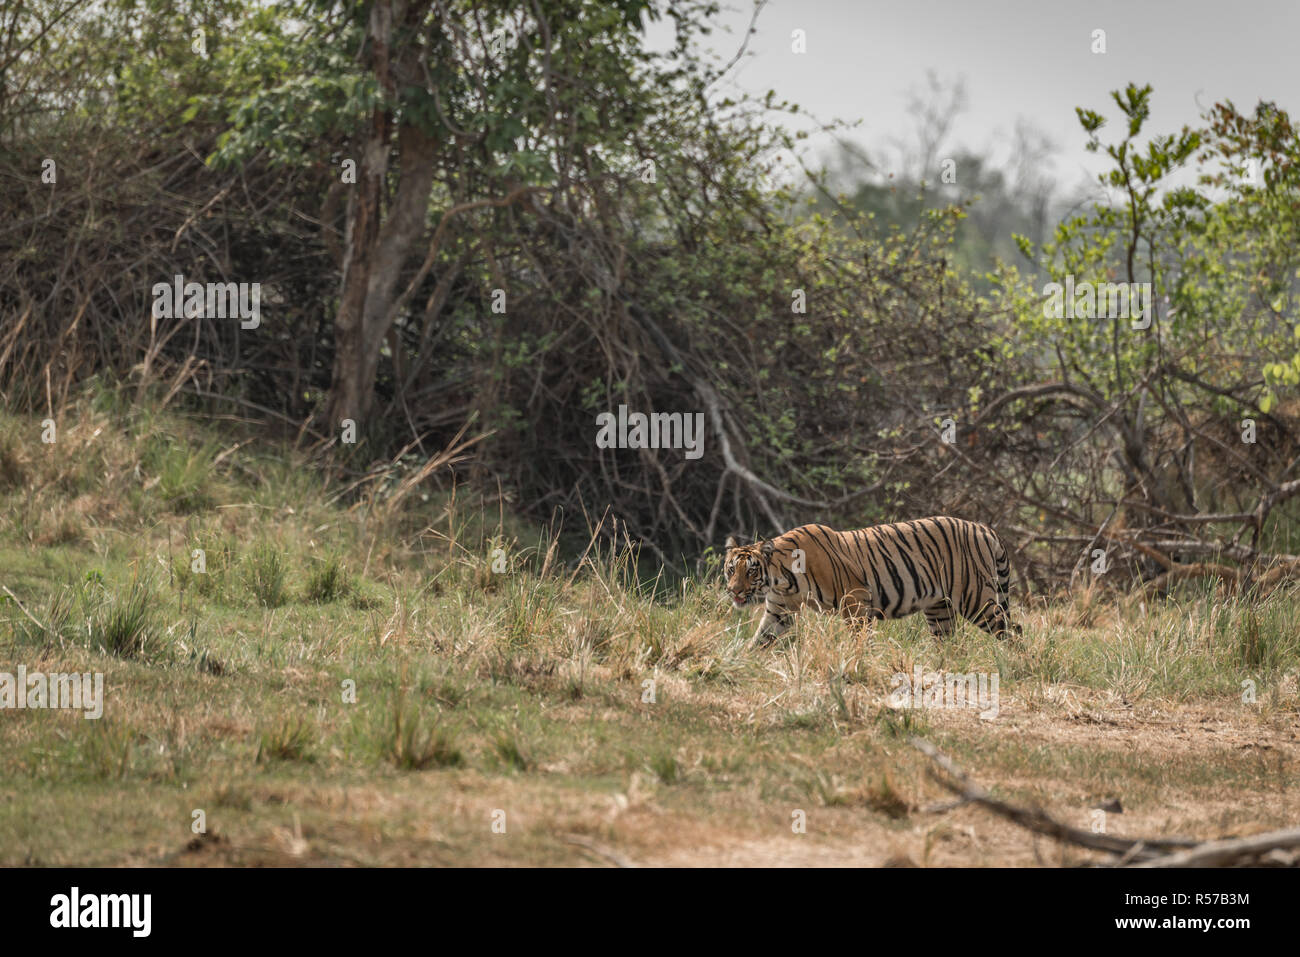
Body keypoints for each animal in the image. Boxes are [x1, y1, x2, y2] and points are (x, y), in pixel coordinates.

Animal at [723, 517, 1018, 647]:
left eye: (751, 572)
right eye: (731, 570)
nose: (733, 591)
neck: (783, 579)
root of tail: (984, 528)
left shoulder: (855, 599)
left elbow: (860, 638)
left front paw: (859, 663)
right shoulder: (779, 610)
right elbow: (761, 639)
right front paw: (744, 660)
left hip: (975, 598)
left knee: (1012, 629)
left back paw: (1012, 665)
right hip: (939, 608)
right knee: (949, 641)